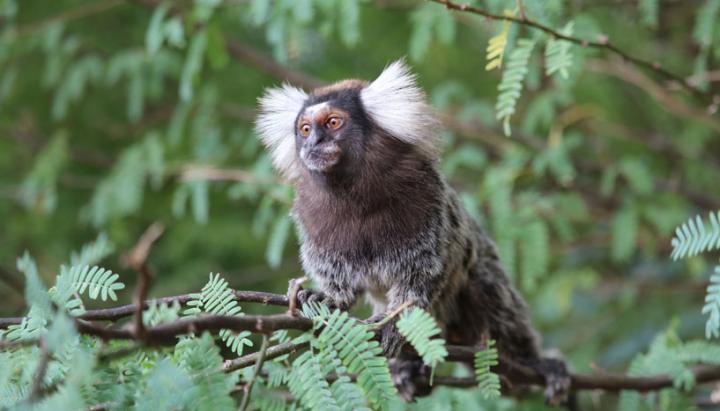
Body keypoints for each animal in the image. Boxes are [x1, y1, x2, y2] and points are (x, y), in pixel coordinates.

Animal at [255, 60, 571, 406]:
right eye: (305, 129)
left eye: (333, 122)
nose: (312, 144)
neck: (353, 193)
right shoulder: (314, 220)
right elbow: (342, 282)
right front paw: (328, 296)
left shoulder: (426, 202)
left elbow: (420, 276)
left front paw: (392, 324)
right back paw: (409, 368)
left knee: (491, 296)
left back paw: (534, 363)